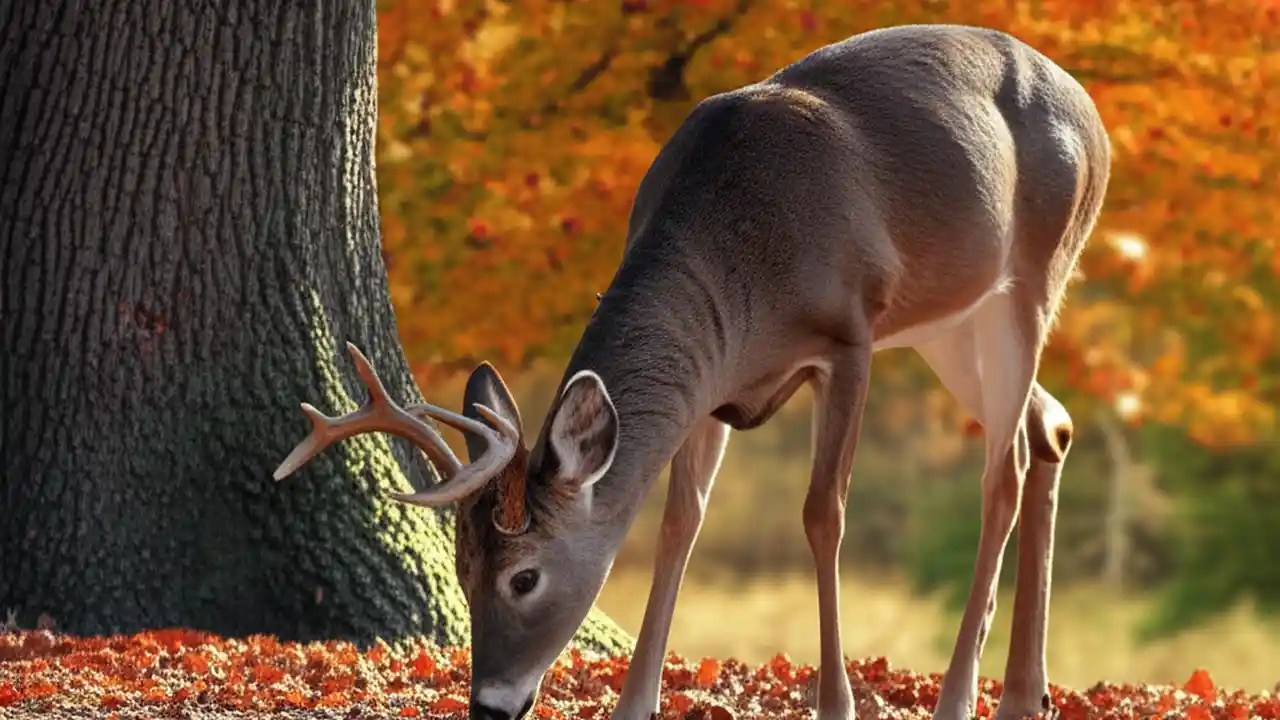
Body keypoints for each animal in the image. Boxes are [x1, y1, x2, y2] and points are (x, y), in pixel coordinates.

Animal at [275, 24, 1109, 720]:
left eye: (524, 577)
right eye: (461, 564)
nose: (490, 706)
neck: (748, 261)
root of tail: (1093, 116)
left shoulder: (850, 337)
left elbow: (822, 512)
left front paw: (835, 704)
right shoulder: (711, 385)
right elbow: (680, 522)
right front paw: (633, 704)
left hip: (1033, 276)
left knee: (1001, 472)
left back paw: (963, 698)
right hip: (949, 324)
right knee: (1050, 425)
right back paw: (1026, 693)